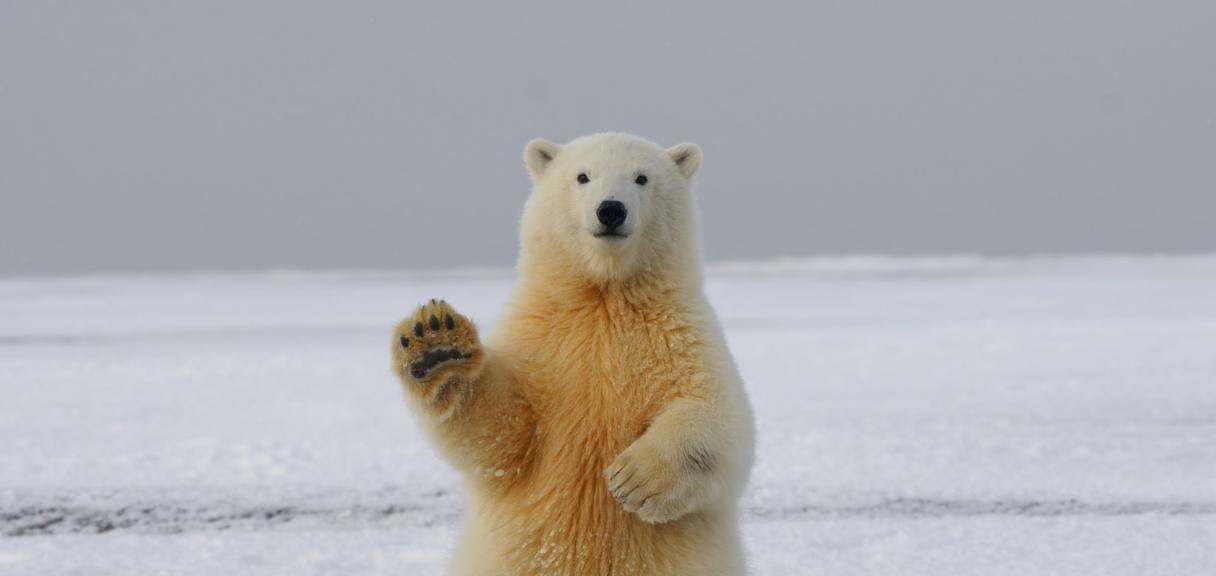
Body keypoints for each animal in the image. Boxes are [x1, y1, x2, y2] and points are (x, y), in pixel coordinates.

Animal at [391, 133, 755, 575]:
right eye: (583, 176)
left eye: (641, 177)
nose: (611, 209)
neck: (604, 297)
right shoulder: (540, 340)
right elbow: (503, 433)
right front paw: (437, 344)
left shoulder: (680, 336)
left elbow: (720, 416)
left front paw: (634, 480)